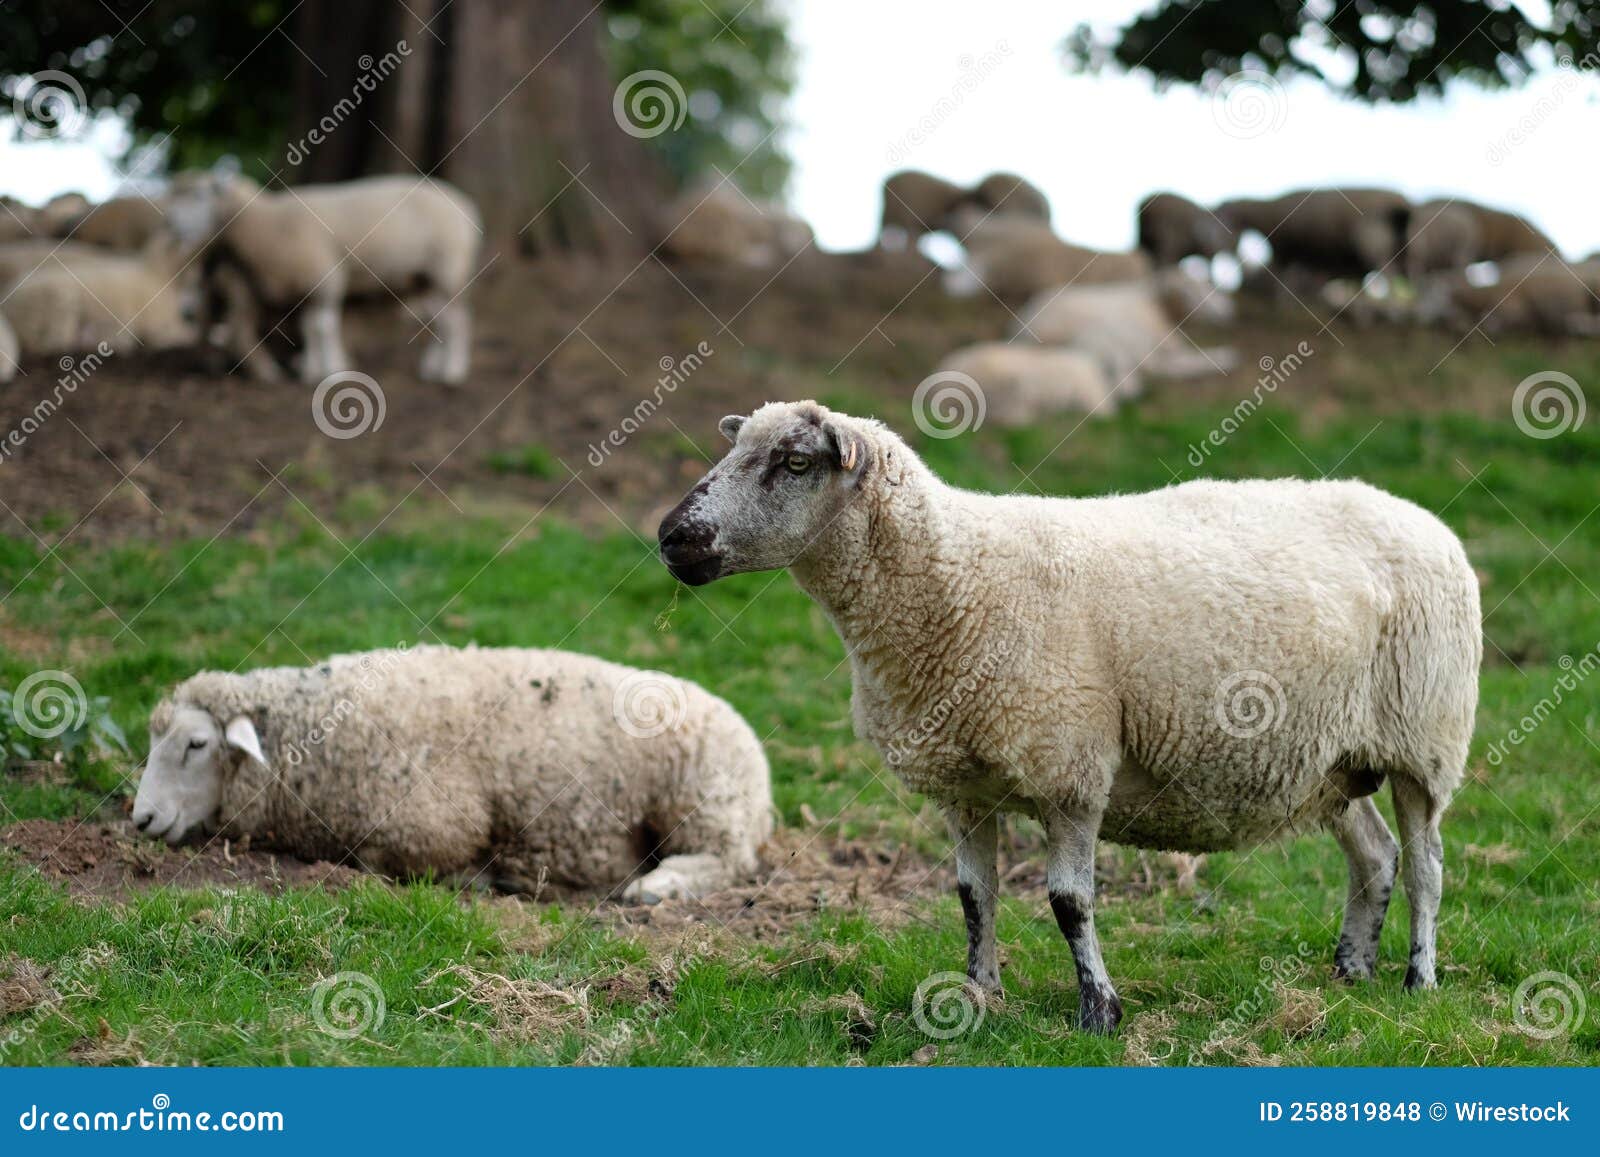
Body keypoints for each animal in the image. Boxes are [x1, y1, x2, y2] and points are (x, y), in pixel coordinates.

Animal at [130, 645, 774, 903]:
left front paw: (482, 877)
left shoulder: (433, 822)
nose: (141, 819)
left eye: (196, 744)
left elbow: (389, 862)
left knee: (727, 860)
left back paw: (654, 887)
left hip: (703, 799)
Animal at [167, 172, 482, 385]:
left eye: (200, 196)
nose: (172, 224)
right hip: (425, 278)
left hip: (448, 268)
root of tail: (466, 206)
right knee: (442, 320)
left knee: (458, 321)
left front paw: (330, 372)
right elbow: (308, 328)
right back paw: (433, 367)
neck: (265, 221)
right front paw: (311, 371)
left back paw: (452, 371)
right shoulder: (307, 285)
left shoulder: (325, 278)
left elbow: (322, 327)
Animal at [658, 401, 1480, 1032]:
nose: (672, 537)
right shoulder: (963, 781)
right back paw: (1351, 969)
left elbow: (1069, 901)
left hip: (1424, 740)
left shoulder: (1072, 768)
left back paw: (1418, 980)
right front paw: (979, 994)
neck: (953, 579)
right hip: (1330, 759)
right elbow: (974, 895)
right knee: (1375, 856)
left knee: (1427, 868)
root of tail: (1422, 518)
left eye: (795, 462)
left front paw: (1099, 1010)